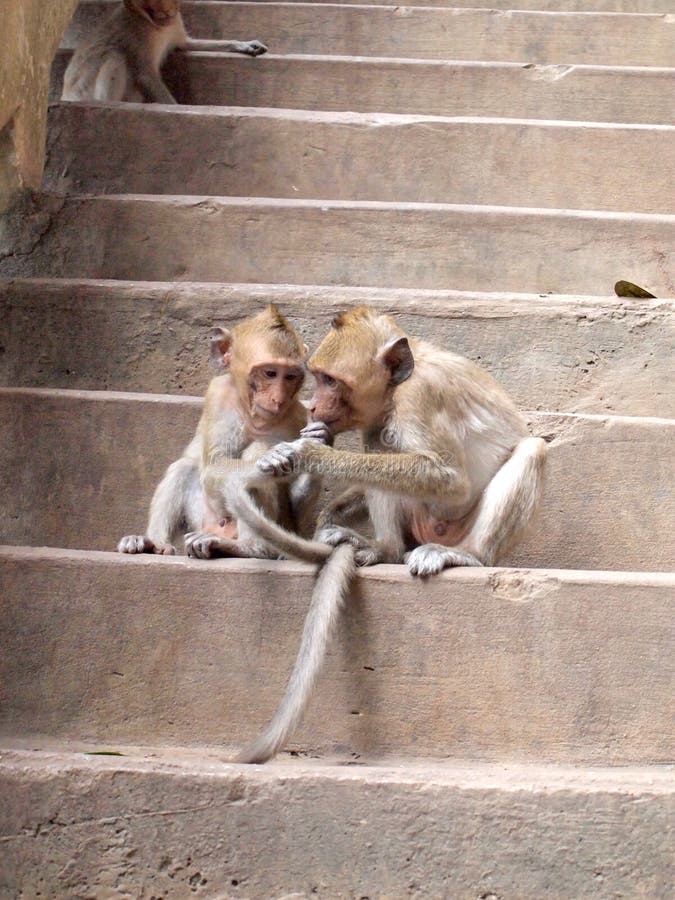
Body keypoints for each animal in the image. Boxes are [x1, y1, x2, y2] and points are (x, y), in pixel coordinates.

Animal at [62, 0, 267, 104]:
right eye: (147, 4)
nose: (165, 13)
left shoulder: (174, 25)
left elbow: (186, 44)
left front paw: (244, 45)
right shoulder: (137, 36)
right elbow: (146, 76)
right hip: (85, 92)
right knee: (115, 57)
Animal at [118, 305, 319, 560]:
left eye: (290, 376)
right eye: (270, 373)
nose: (278, 398)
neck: (254, 416)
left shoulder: (298, 417)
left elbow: (293, 503)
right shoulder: (218, 396)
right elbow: (214, 465)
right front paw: (270, 460)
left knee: (254, 454)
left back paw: (249, 547)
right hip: (202, 518)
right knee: (185, 467)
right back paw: (151, 542)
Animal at [225, 306, 547, 762]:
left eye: (330, 380)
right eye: (317, 377)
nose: (313, 405)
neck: (398, 387)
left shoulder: (421, 398)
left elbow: (450, 479)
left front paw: (309, 453)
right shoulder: (379, 412)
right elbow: (375, 443)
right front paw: (326, 515)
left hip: (461, 532)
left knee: (530, 450)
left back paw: (454, 555)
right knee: (380, 443)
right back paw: (381, 547)